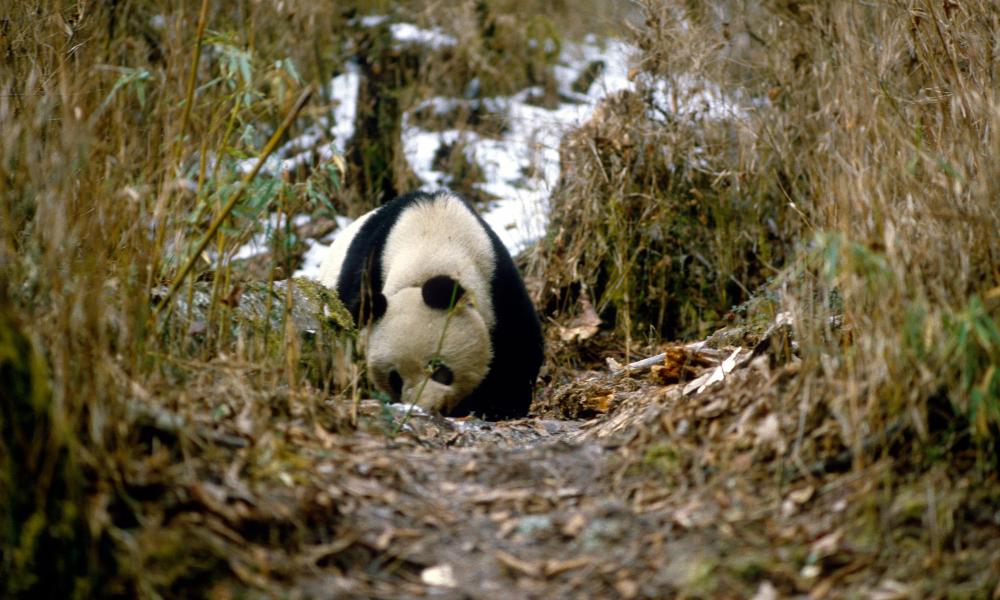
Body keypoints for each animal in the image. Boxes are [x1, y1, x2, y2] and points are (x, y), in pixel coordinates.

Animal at [318, 190, 544, 420]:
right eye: (395, 378)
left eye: (438, 368)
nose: (425, 407)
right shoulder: (368, 269)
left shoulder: (497, 279)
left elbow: (518, 344)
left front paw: (500, 408)